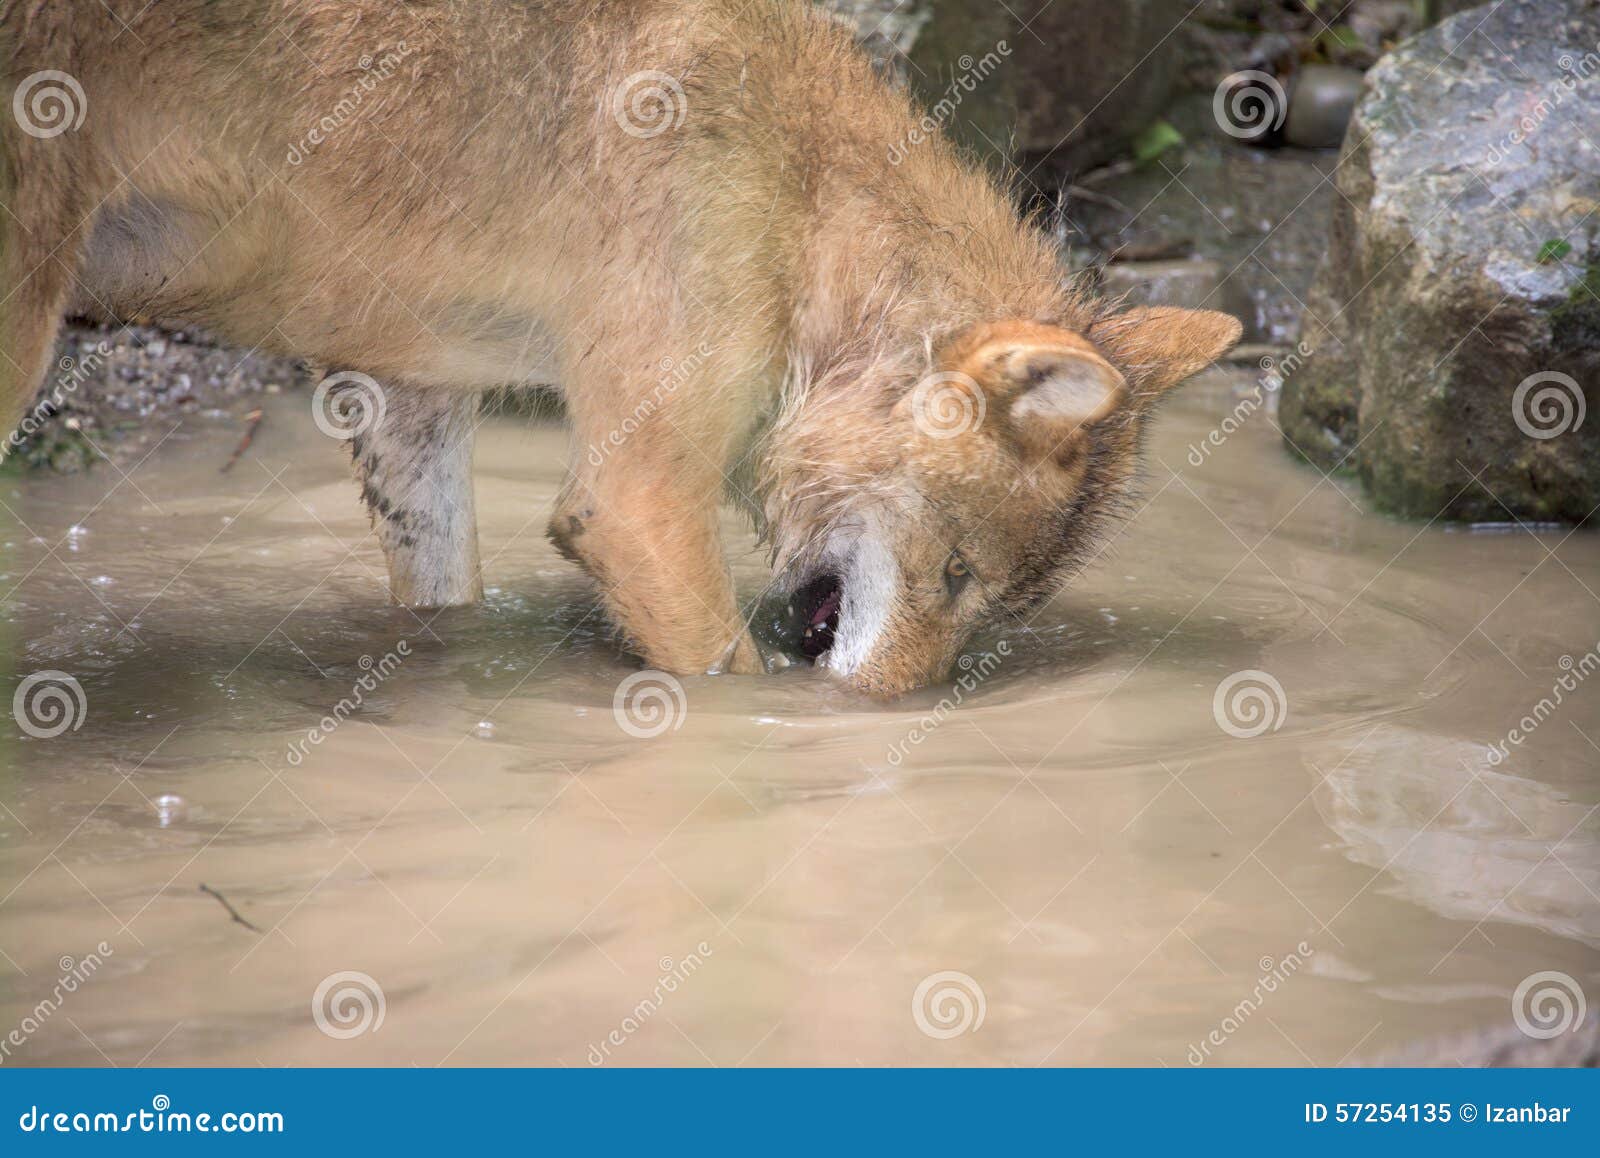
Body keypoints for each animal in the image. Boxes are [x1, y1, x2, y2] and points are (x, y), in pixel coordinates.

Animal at [1, 0, 1240, 694]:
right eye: (954, 574)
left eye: (989, 602)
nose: (885, 711)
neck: (801, 198)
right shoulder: (633, 501)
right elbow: (723, 682)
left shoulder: (410, 398)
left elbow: (440, 589)